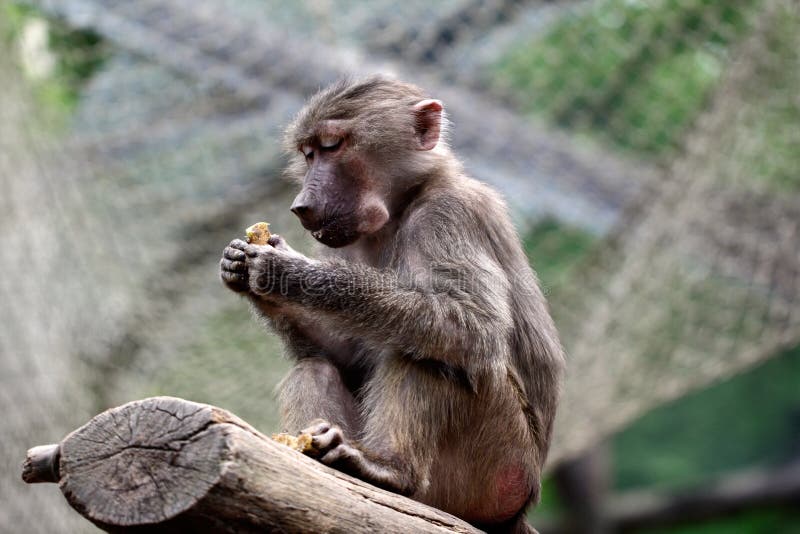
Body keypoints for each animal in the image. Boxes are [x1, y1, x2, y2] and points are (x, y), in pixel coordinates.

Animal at [220, 76, 564, 533]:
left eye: (332, 146)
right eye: (308, 154)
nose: (301, 206)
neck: (402, 206)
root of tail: (521, 506)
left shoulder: (448, 216)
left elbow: (473, 325)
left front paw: (284, 271)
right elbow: (345, 355)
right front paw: (241, 267)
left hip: (498, 469)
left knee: (431, 353)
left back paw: (387, 469)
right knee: (315, 367)